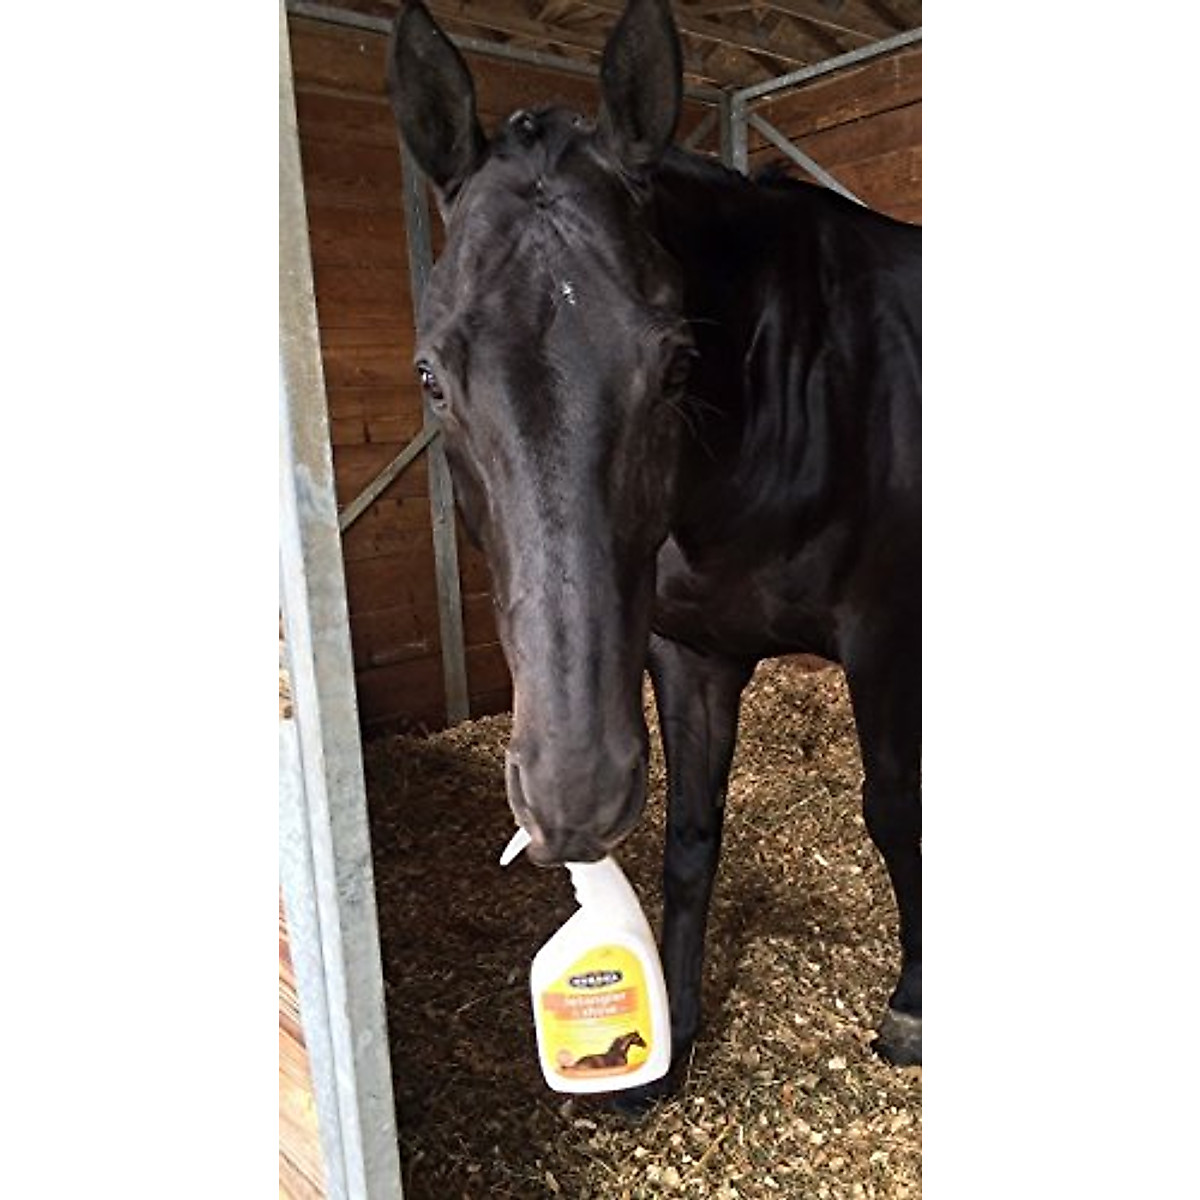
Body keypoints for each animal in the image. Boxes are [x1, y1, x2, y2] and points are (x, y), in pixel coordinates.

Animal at [386, 0, 921, 1109]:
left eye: (676, 363)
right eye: (430, 377)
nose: (572, 796)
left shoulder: (887, 629)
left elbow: (893, 810)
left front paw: (913, 1007)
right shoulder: (691, 651)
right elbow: (690, 838)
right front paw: (662, 1047)